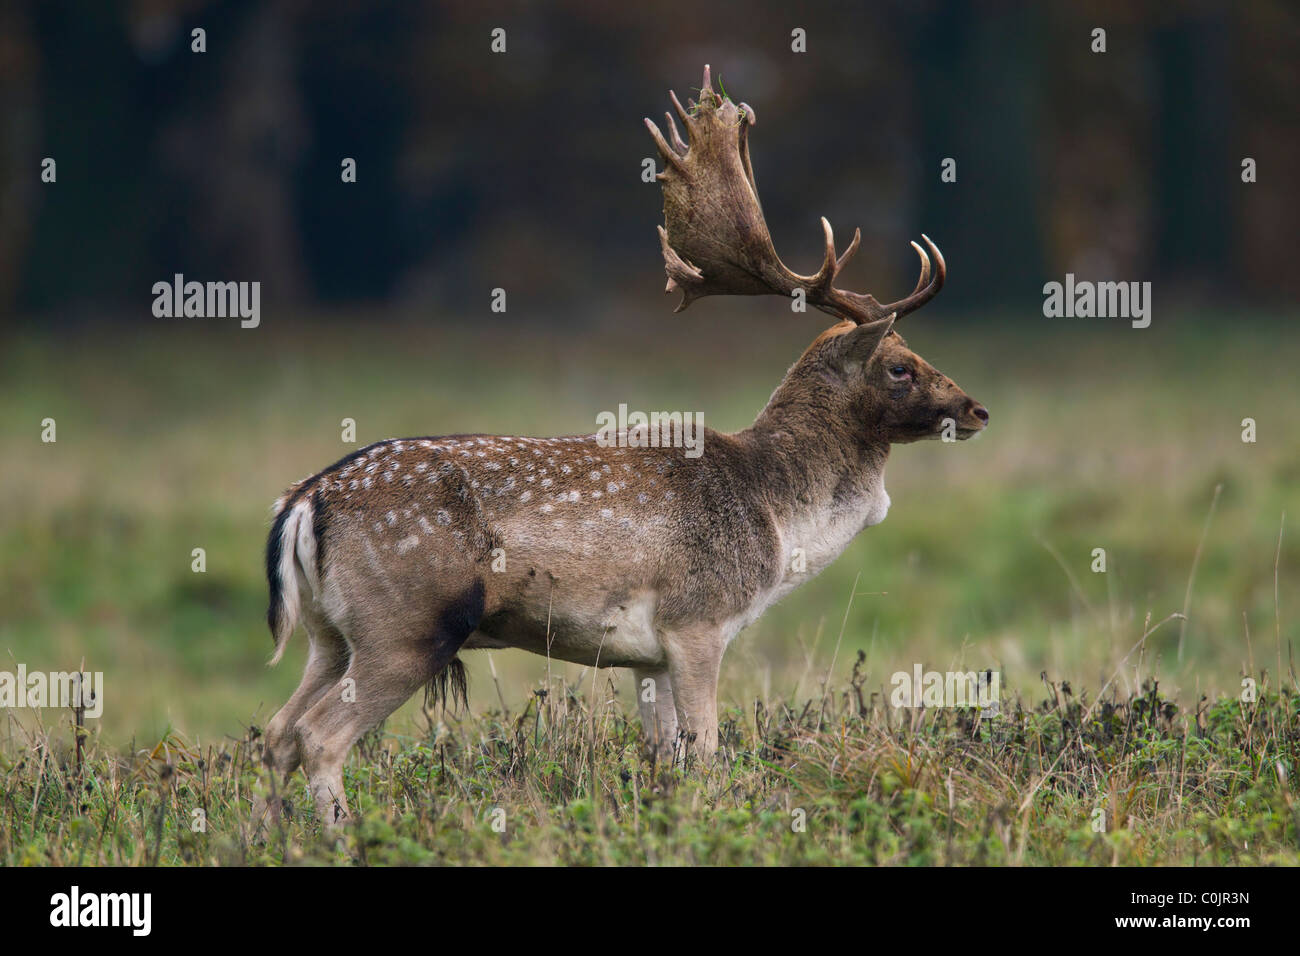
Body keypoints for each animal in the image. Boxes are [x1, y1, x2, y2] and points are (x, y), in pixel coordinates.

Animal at [254, 66, 987, 831]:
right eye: (899, 366)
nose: (976, 409)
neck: (778, 515)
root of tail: (303, 502)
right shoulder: (699, 620)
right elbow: (707, 752)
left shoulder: (647, 655)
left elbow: (666, 759)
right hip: (406, 623)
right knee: (317, 737)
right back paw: (341, 836)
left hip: (328, 633)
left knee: (275, 733)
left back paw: (269, 836)